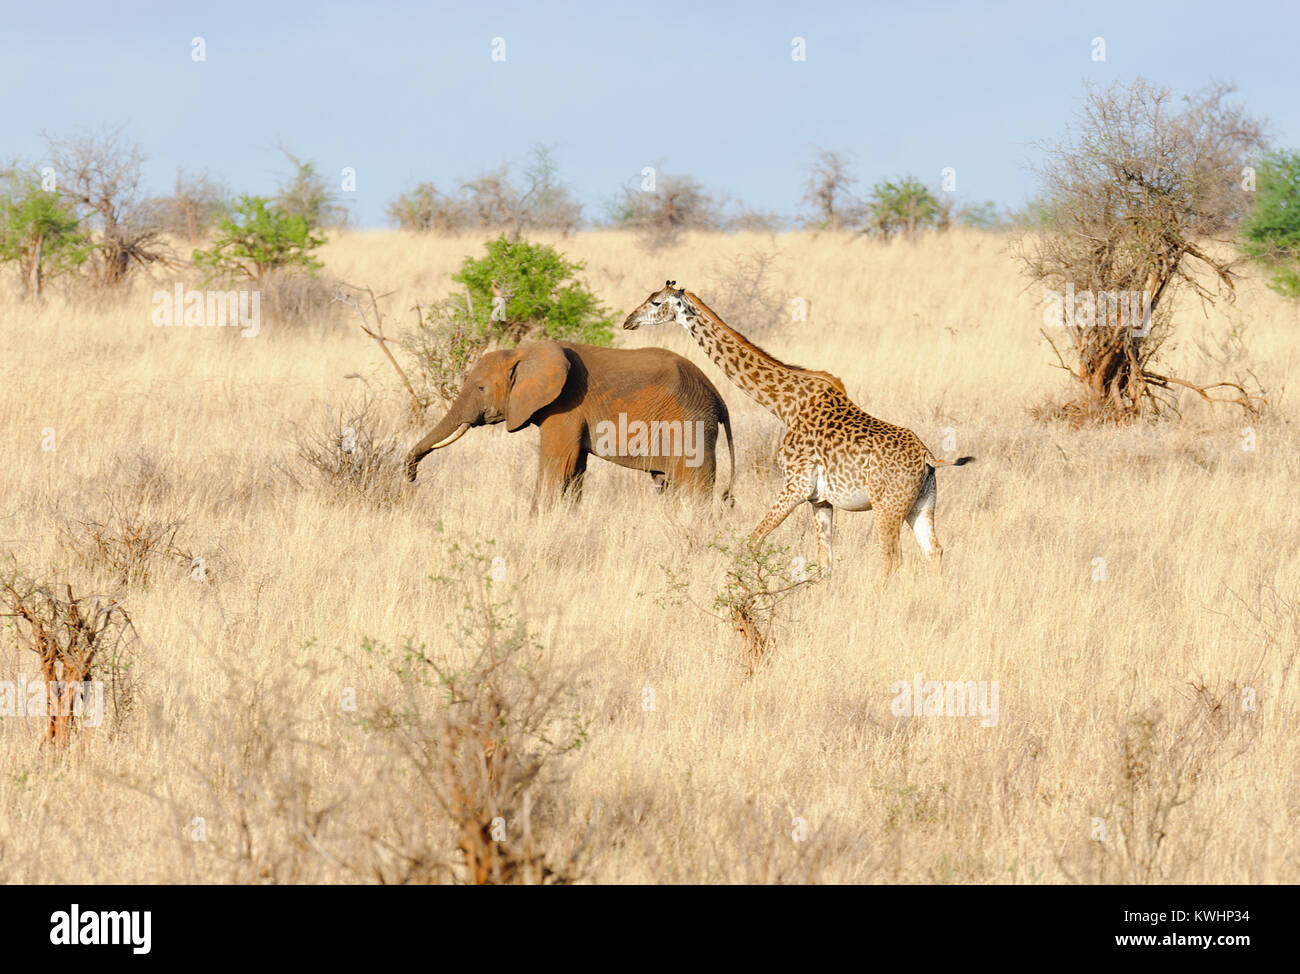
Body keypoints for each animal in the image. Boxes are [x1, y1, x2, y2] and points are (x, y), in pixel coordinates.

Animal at [405, 340, 735, 508]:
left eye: (480, 388)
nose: (411, 479)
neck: (523, 351)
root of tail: (719, 398)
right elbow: (574, 470)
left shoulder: (566, 405)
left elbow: (557, 465)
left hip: (691, 424)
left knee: (693, 485)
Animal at [623, 281, 973, 584]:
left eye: (656, 302)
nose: (628, 321)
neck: (784, 405)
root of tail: (928, 458)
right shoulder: (820, 500)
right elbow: (825, 564)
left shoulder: (795, 485)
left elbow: (753, 540)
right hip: (921, 505)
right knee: (935, 551)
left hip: (887, 504)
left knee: (892, 557)